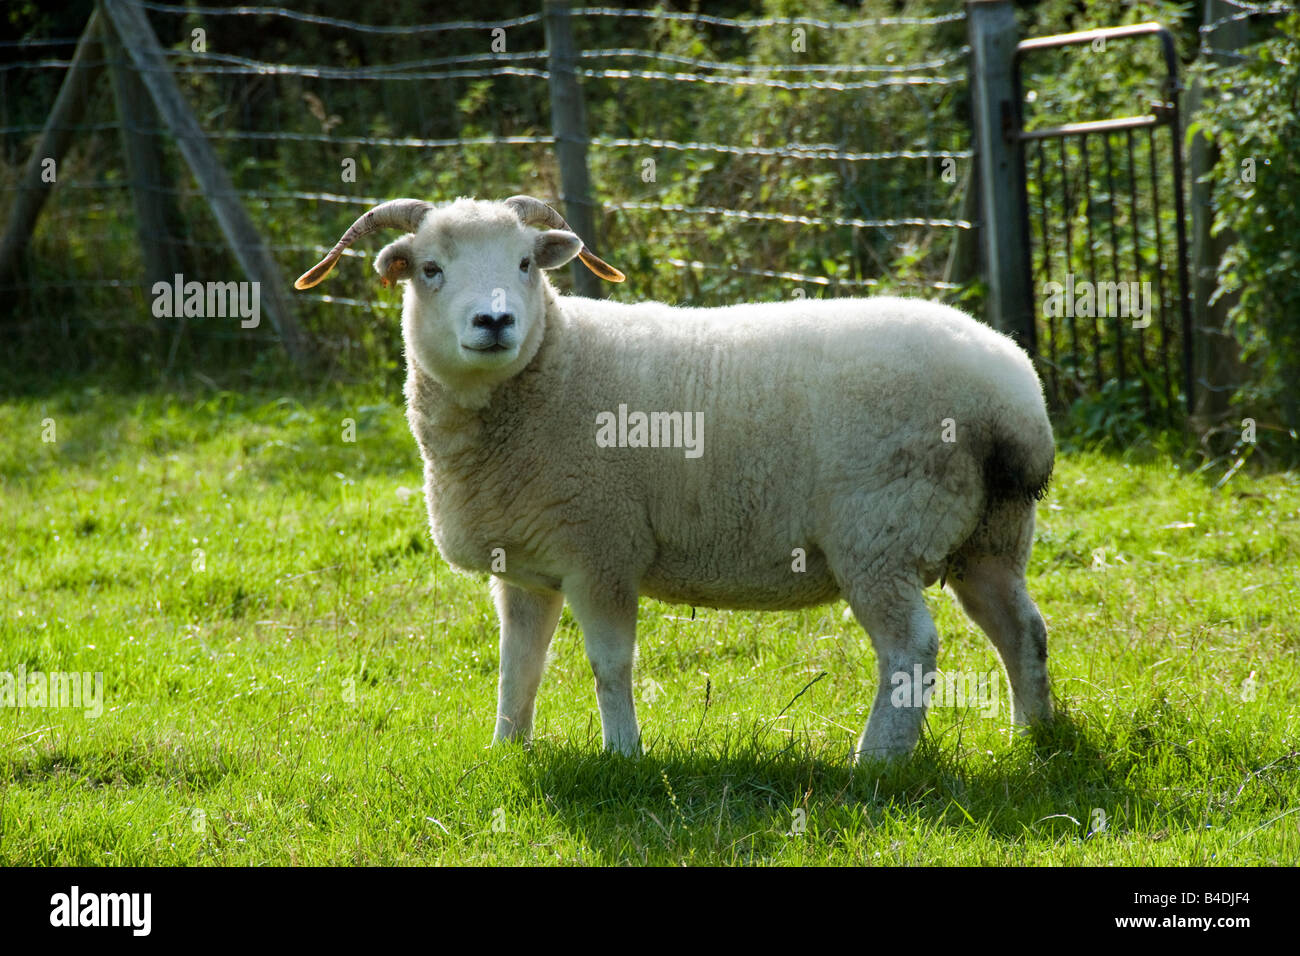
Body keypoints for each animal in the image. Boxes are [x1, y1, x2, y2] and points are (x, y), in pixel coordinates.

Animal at [295, 195, 1056, 761]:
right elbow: (519, 666)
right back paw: (1035, 735)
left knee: (911, 650)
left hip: (880, 533)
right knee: (1022, 628)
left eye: (524, 263)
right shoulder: (524, 565)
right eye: (429, 268)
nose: (495, 321)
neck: (550, 367)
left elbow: (609, 665)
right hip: (990, 535)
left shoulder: (601, 548)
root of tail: (1012, 397)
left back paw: (876, 762)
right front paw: (507, 748)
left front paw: (623, 756)